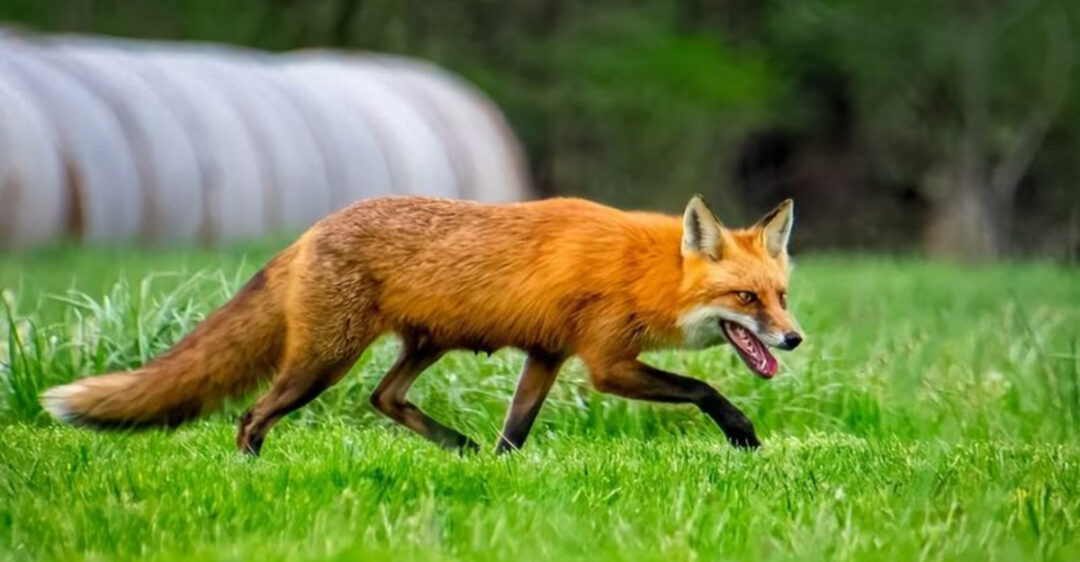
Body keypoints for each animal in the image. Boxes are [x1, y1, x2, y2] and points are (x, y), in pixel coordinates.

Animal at [41, 195, 803, 455]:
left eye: (783, 295)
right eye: (746, 299)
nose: (794, 339)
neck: (639, 272)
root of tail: (311, 229)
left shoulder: (547, 356)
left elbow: (515, 433)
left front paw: (499, 472)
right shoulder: (605, 364)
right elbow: (704, 390)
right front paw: (742, 435)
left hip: (422, 347)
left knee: (384, 397)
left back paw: (457, 447)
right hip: (321, 362)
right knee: (251, 416)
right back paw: (250, 472)